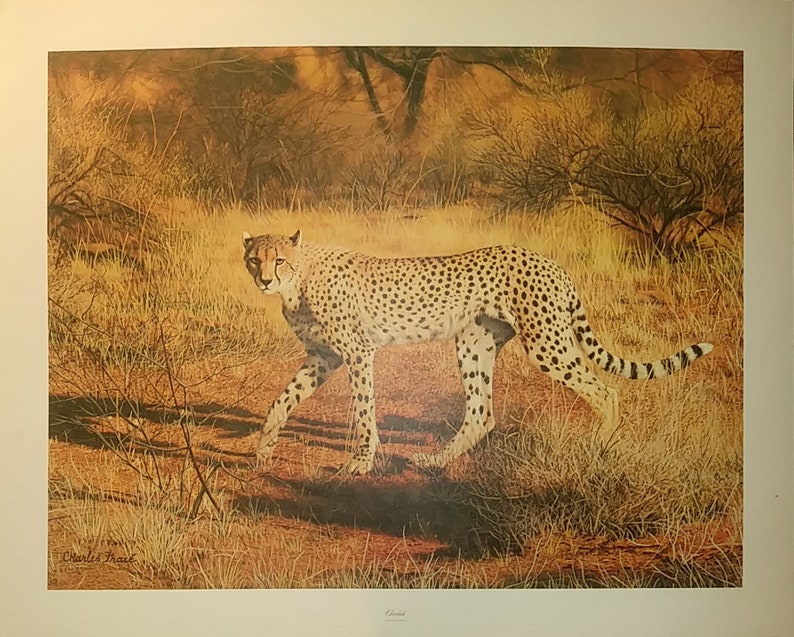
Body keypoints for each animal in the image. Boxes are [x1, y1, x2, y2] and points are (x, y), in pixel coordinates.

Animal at [242, 229, 713, 475]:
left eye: (279, 260)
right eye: (253, 260)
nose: (263, 280)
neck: (299, 280)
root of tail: (547, 260)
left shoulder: (357, 353)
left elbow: (362, 409)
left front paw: (360, 462)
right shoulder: (325, 357)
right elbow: (281, 401)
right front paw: (263, 449)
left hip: (547, 343)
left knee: (604, 390)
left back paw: (603, 445)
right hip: (474, 343)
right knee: (481, 413)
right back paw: (433, 461)